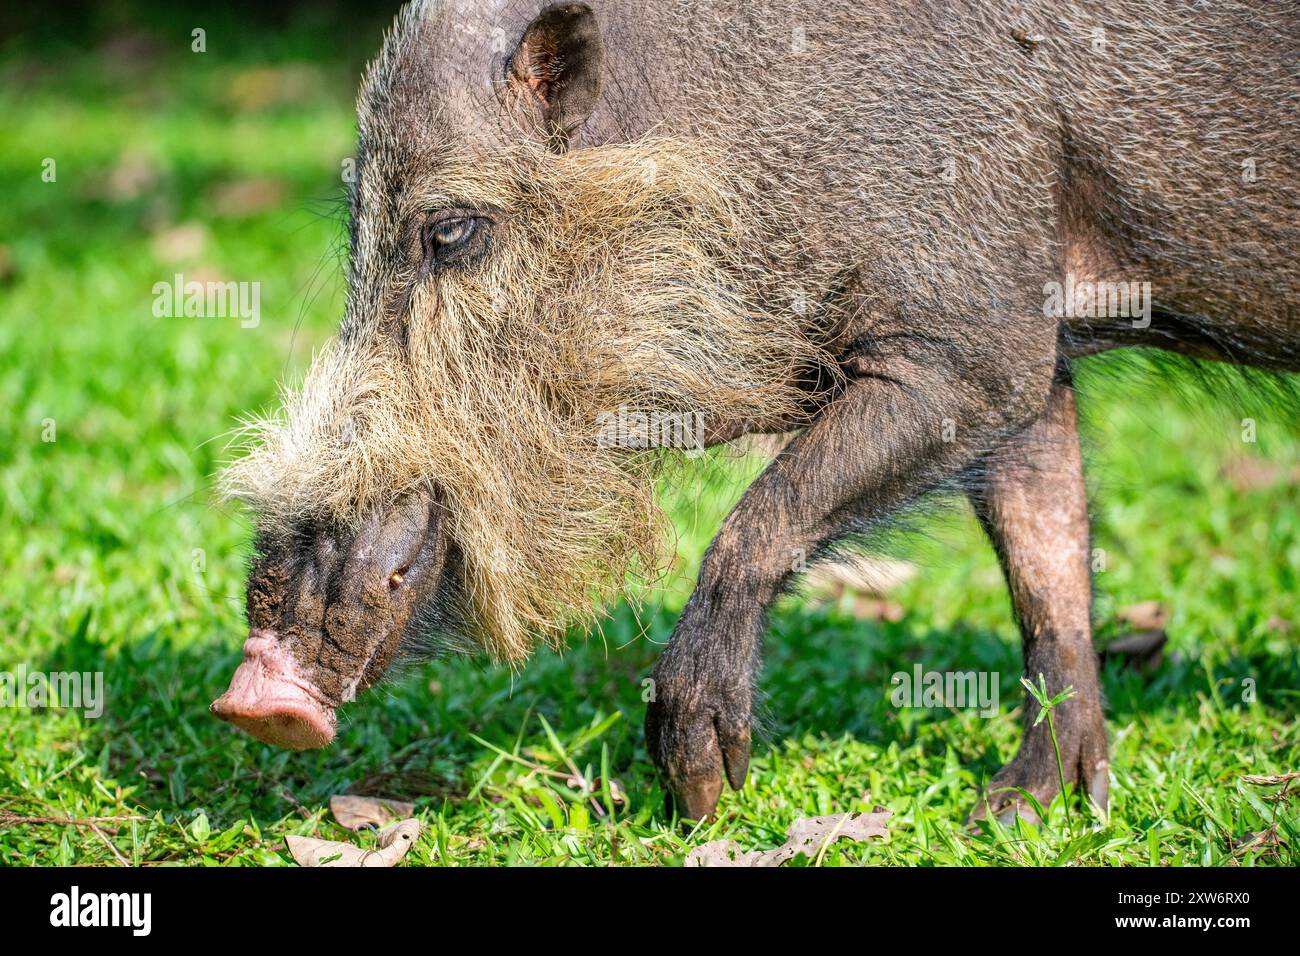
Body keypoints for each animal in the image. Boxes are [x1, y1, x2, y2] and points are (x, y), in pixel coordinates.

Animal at [213, 0, 1299, 822]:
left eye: (450, 231)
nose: (254, 694)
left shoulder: (971, 353)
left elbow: (758, 520)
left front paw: (700, 791)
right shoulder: (1035, 366)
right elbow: (1048, 570)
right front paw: (1019, 815)